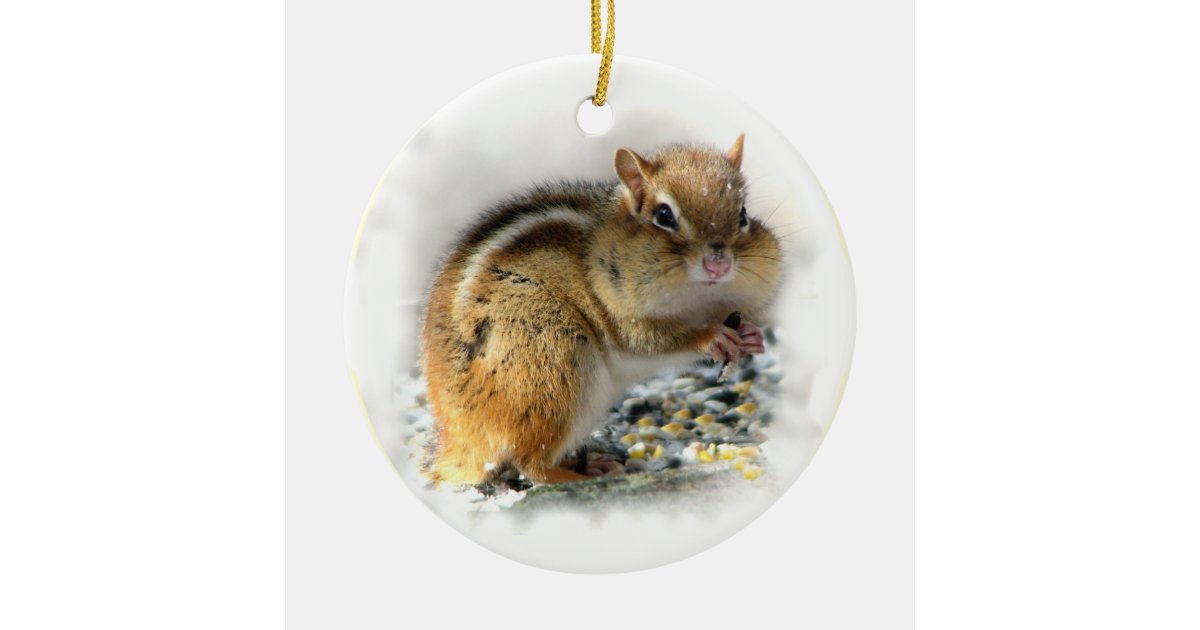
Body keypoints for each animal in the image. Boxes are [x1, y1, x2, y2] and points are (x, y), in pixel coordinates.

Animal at [419, 135, 783, 486]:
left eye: (743, 215)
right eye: (664, 216)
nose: (718, 264)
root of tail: (460, 439)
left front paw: (751, 336)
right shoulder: (620, 313)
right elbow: (651, 341)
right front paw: (712, 336)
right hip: (548, 360)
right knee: (529, 464)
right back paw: (573, 475)